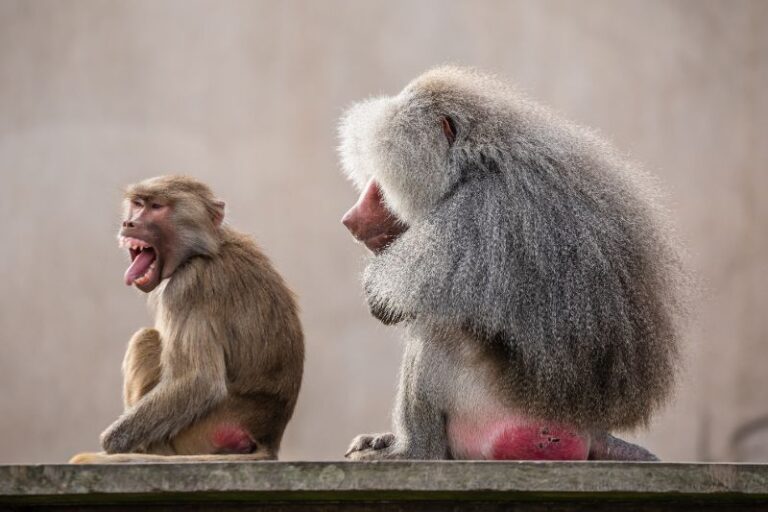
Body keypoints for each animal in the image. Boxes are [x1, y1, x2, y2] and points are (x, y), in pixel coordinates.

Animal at [70, 175, 303, 463]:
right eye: (138, 204)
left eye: (157, 207)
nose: (129, 223)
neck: (204, 250)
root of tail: (267, 438)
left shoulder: (187, 286)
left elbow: (200, 381)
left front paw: (111, 444)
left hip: (198, 434)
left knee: (145, 339)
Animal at [338, 66, 689, 461]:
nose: (350, 219)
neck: (476, 162)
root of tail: (589, 426)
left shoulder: (471, 219)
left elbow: (400, 301)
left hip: (499, 406)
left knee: (439, 328)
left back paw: (412, 450)